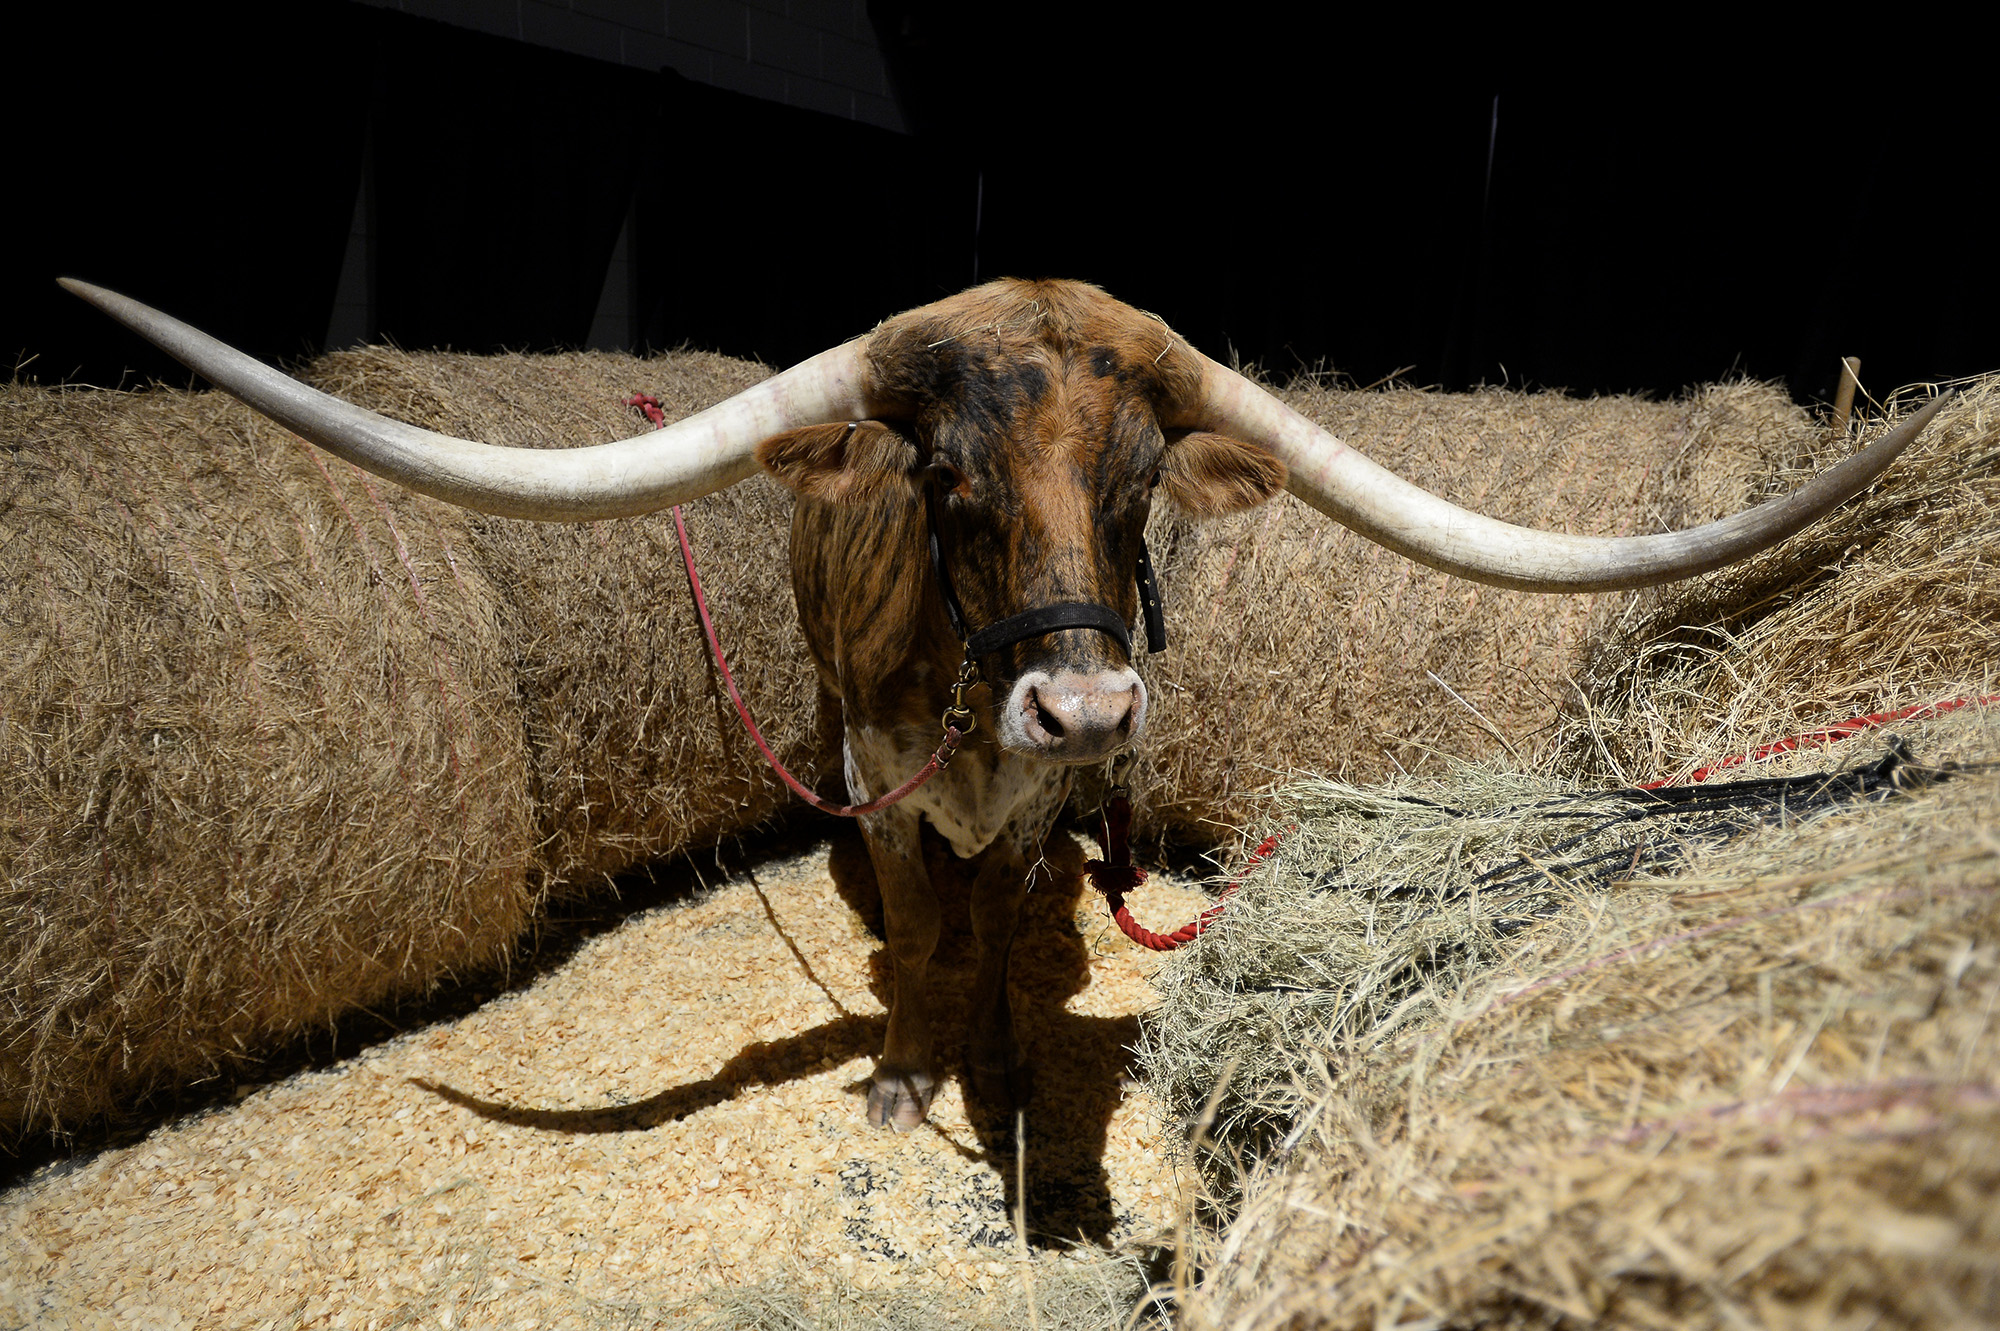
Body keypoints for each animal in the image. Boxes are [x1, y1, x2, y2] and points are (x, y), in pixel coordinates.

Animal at [61, 277, 1943, 1129]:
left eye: (1142, 490)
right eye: (951, 481)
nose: (1090, 704)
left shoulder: (1041, 815)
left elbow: (1008, 933)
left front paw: (1013, 1073)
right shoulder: (887, 783)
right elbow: (924, 935)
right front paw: (911, 1074)